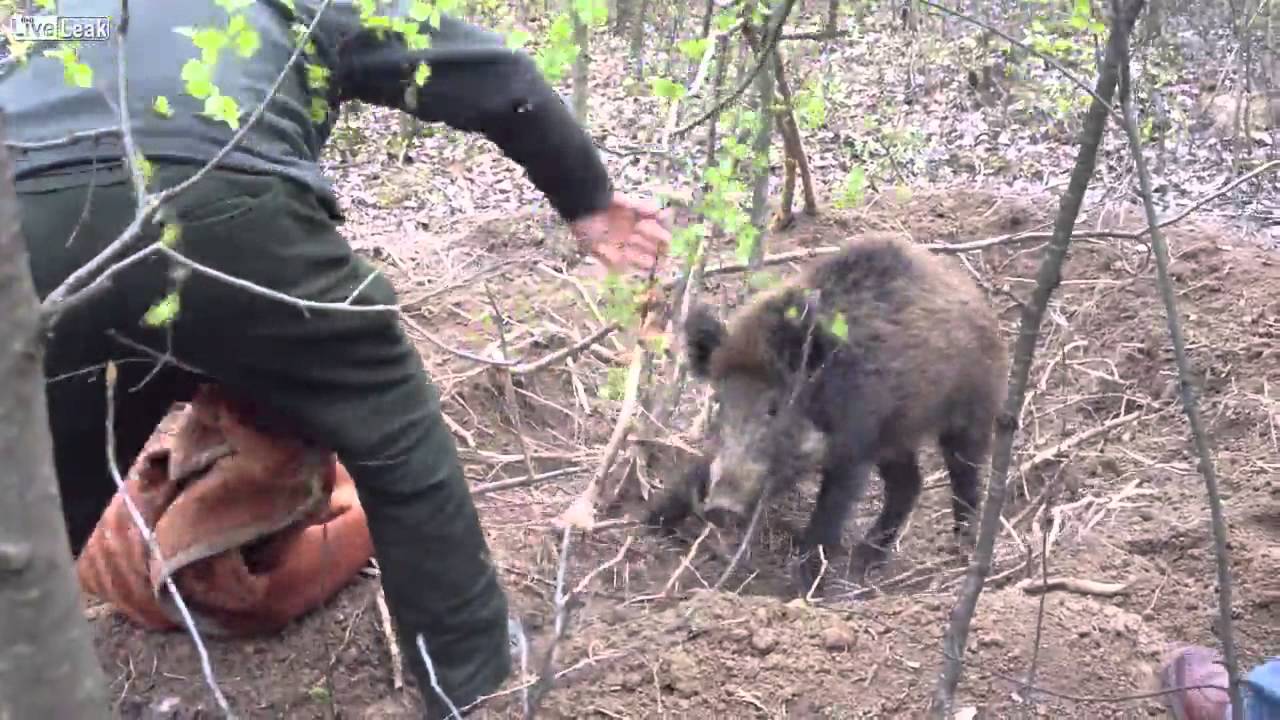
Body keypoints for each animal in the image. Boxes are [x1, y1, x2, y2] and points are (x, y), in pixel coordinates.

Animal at [645, 235, 1009, 592]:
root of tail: (977, 298)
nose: (720, 507)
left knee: (965, 478)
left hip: (972, 412)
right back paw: (864, 560)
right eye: (720, 402)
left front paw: (801, 590)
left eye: (775, 407)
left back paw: (961, 549)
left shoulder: (855, 446)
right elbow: (697, 469)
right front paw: (648, 522)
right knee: (909, 483)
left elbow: (828, 516)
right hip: (894, 436)